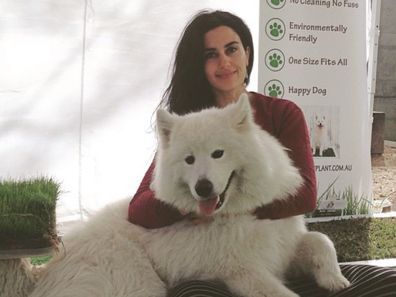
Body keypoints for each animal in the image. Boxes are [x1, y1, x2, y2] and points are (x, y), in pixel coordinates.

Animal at [29, 95, 348, 296]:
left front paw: (334, 278)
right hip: (140, 283)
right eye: (189, 160)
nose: (203, 188)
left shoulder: (283, 248)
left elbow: (321, 240)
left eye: (218, 153)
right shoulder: (242, 271)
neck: (237, 213)